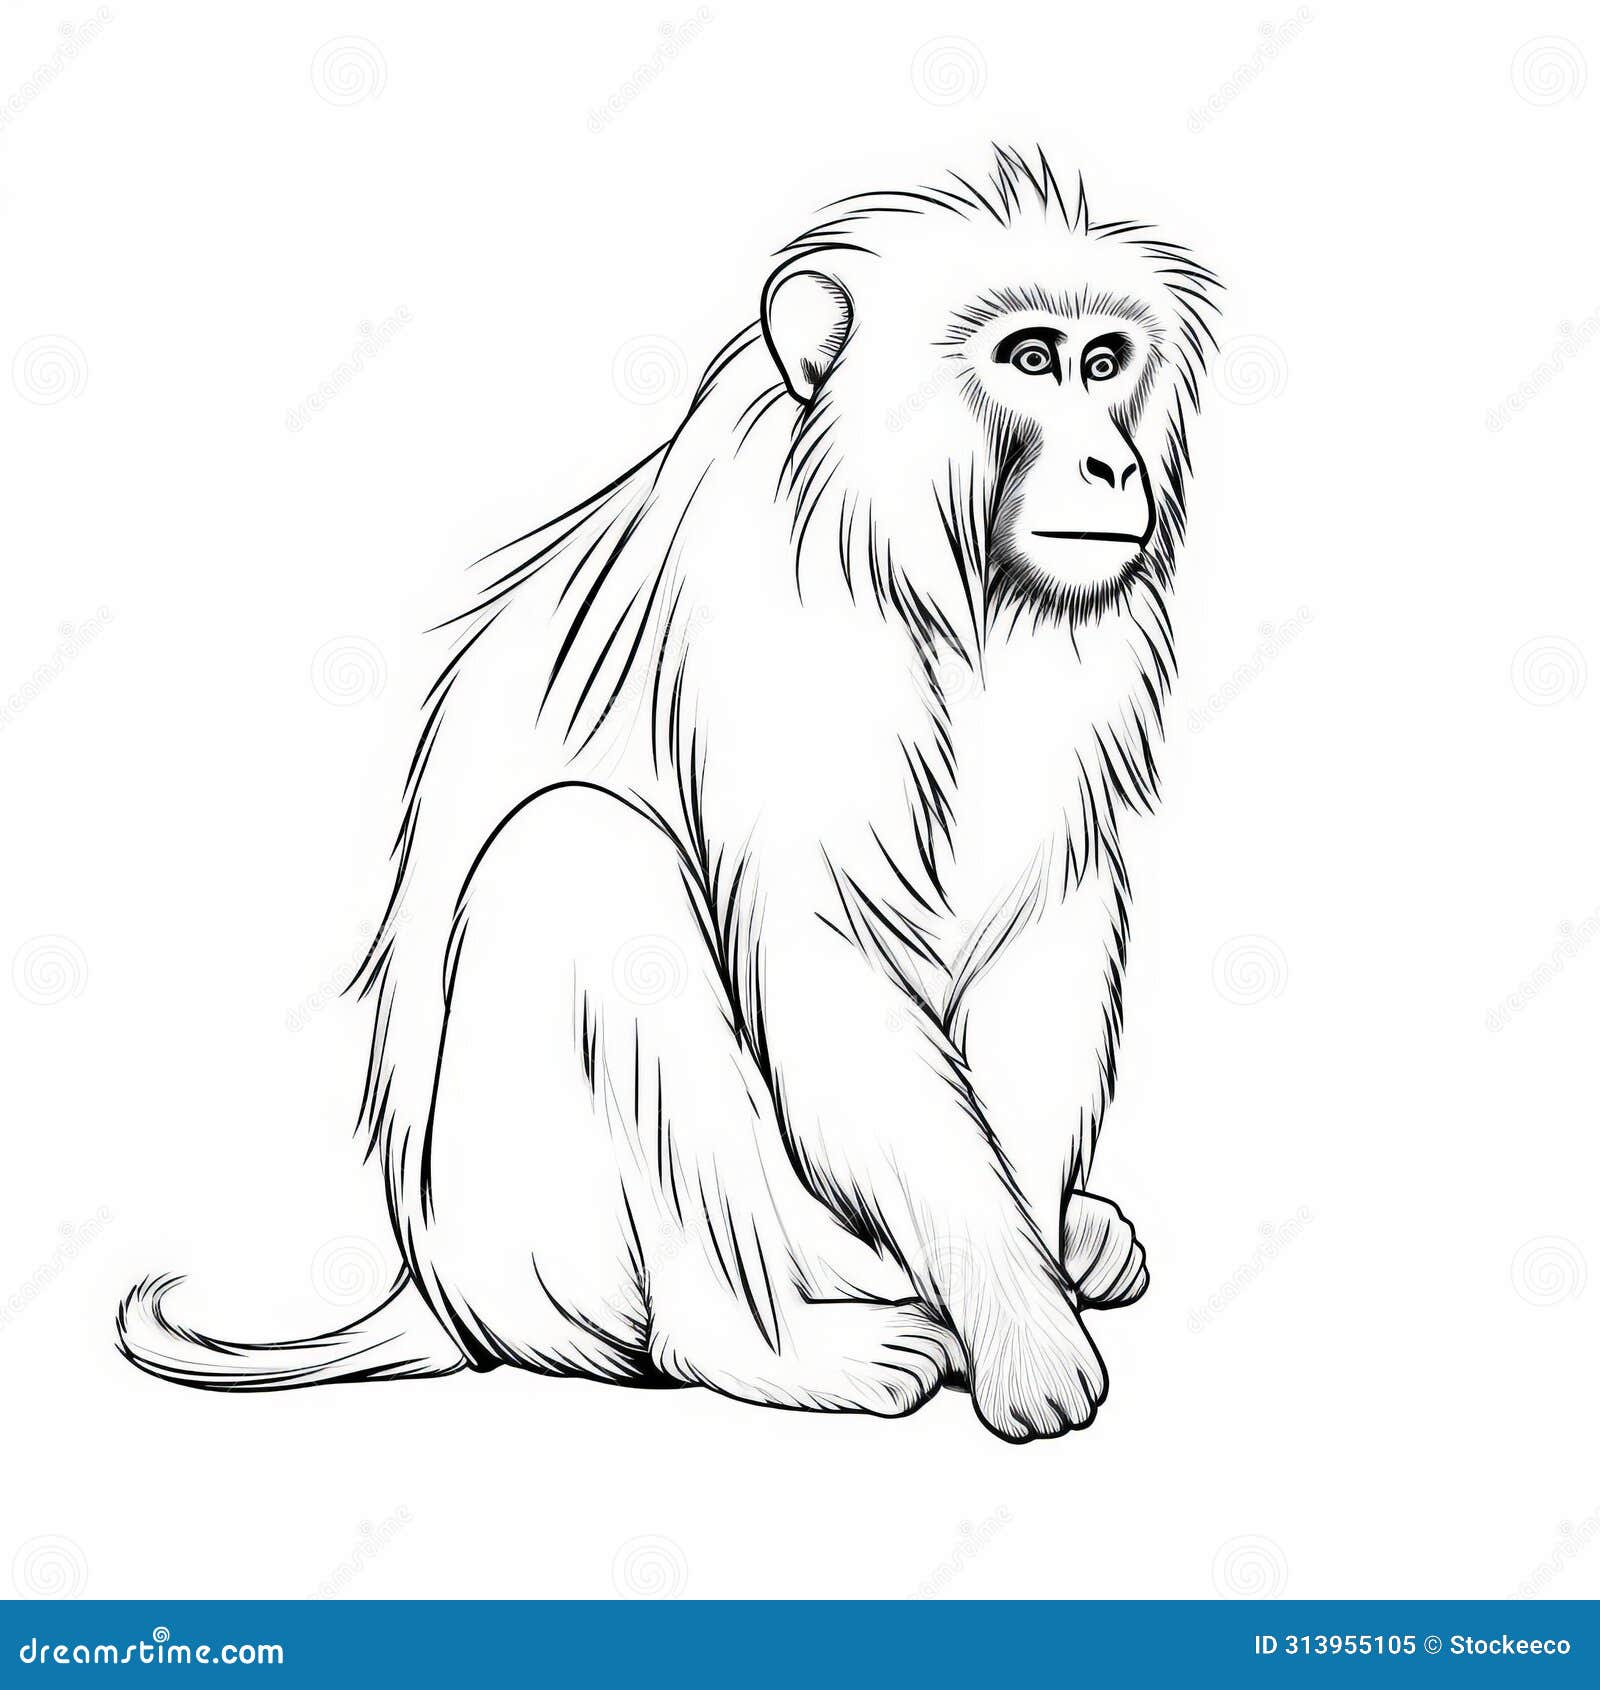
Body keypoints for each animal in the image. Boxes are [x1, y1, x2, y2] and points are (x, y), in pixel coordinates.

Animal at [118, 146, 1220, 1442]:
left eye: (1107, 363)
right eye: (1032, 359)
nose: (1113, 461)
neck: (944, 573)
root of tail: (436, 1290)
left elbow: (1046, 911)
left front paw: (1036, 1264)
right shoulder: (789, 631)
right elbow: (818, 958)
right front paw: (1021, 1328)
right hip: (556, 1247)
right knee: (579, 851)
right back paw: (762, 1346)